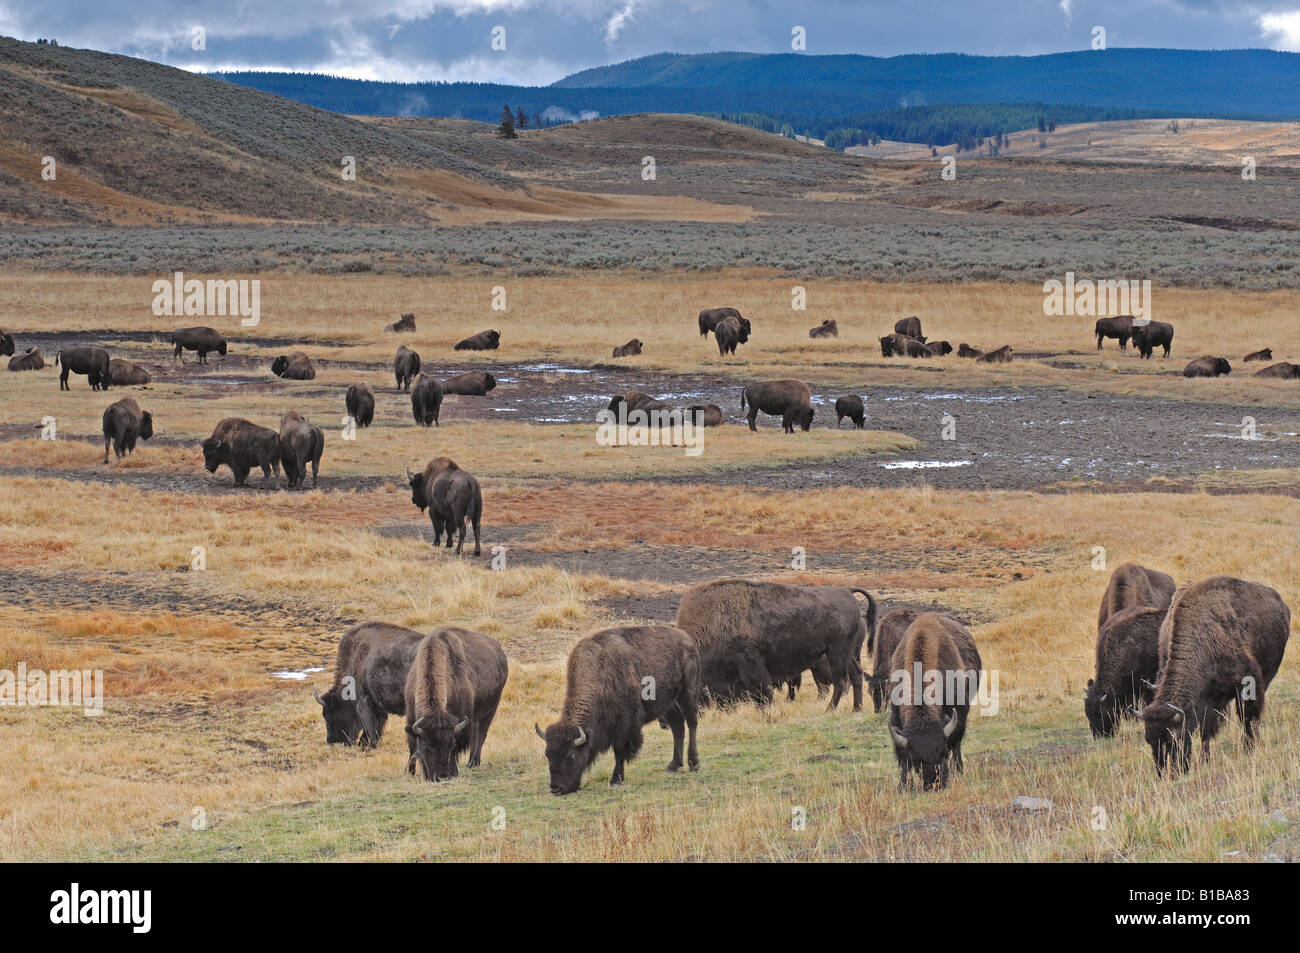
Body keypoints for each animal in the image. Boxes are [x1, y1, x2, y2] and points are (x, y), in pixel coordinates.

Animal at [404, 626, 508, 781]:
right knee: (476, 734)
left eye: (450, 745)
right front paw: (409, 771)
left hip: (490, 710)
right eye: (427, 746)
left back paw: (473, 762)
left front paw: (454, 771)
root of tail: (499, 651)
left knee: (481, 734)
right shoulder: (411, 719)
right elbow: (412, 748)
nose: (441, 777)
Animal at [536, 624, 700, 794]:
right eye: (548, 755)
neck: (599, 673)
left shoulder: (625, 723)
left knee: (692, 723)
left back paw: (694, 763)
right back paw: (674, 765)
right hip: (668, 703)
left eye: (570, 755)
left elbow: (619, 750)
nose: (555, 788)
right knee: (678, 727)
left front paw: (615, 779)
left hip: (687, 692)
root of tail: (687, 639)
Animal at [675, 580, 876, 711]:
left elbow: (763, 691)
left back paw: (829, 709)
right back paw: (856, 708)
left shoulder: (750, 663)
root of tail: (847, 591)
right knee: (856, 675)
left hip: (837, 652)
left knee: (841, 681)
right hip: (848, 653)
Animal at [887, 613, 981, 790]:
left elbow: (955, 743)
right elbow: (902, 756)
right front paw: (903, 785)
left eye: (942, 753)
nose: (933, 784)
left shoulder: (959, 714)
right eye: (916, 760)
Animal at [1137, 575, 1290, 775]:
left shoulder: (1248, 683)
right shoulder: (1206, 702)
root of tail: (1278, 600)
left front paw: (1249, 749)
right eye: (1149, 739)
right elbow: (1205, 731)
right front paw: (1205, 760)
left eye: (1174, 739)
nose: (1168, 774)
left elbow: (1247, 718)